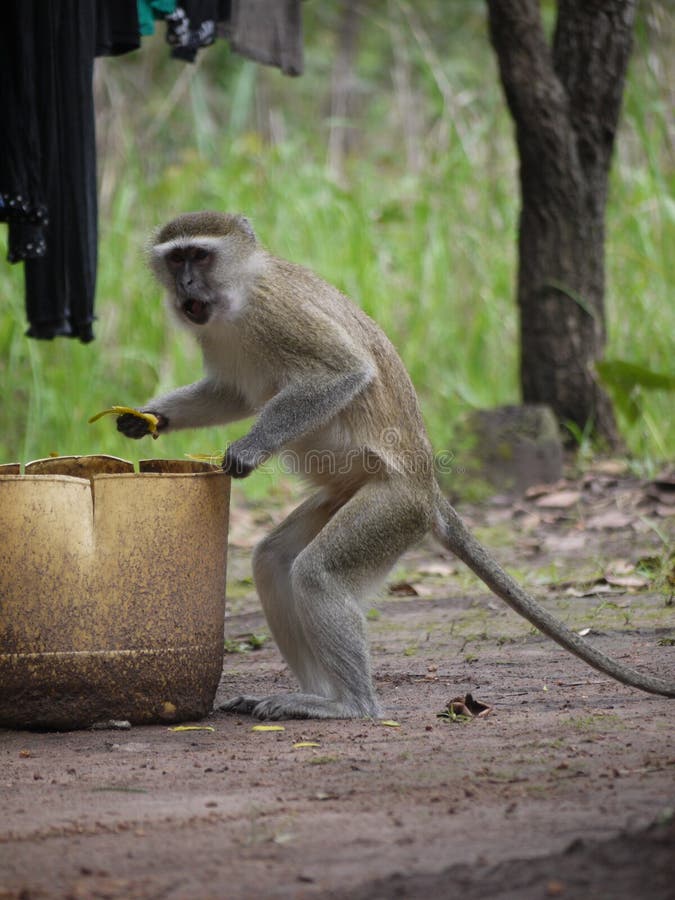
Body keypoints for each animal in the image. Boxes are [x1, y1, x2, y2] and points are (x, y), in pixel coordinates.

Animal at [116, 211, 675, 718]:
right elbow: (230, 394)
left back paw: (348, 706)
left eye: (201, 255)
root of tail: (428, 490)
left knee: (318, 573)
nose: (186, 285)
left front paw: (249, 449)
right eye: (177, 259)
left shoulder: (279, 313)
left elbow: (343, 372)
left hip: (393, 508)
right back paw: (313, 693)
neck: (239, 296)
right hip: (352, 497)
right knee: (274, 561)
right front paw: (149, 417)